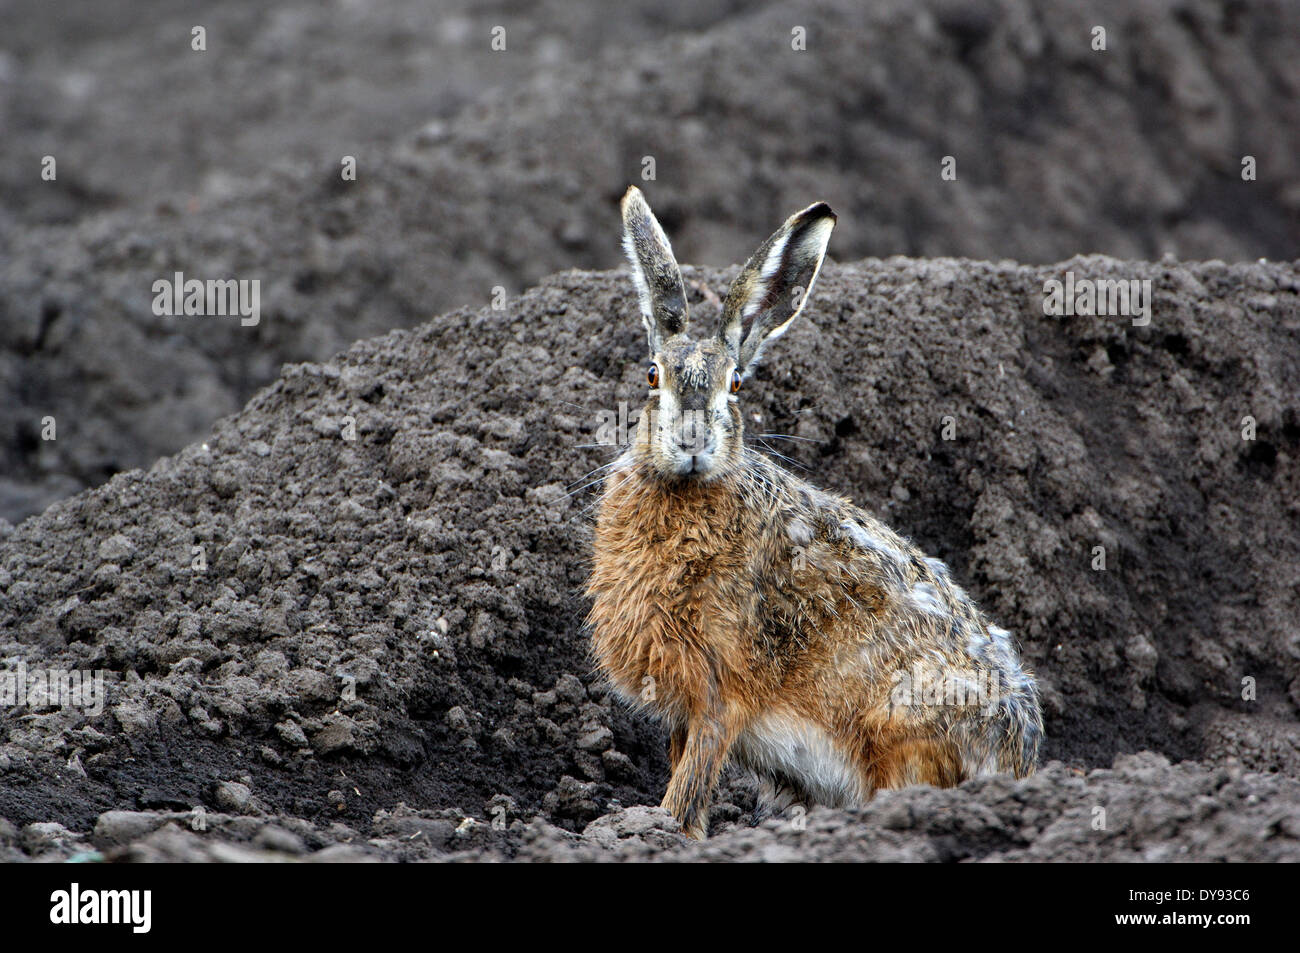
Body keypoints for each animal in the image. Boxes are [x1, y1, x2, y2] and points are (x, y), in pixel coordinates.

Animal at [587, 186, 1043, 839]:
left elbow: (692, 782)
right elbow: (682, 765)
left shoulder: (721, 691)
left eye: (736, 387)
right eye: (653, 376)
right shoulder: (685, 703)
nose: (693, 441)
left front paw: (662, 830)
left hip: (906, 720)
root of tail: (1020, 759)